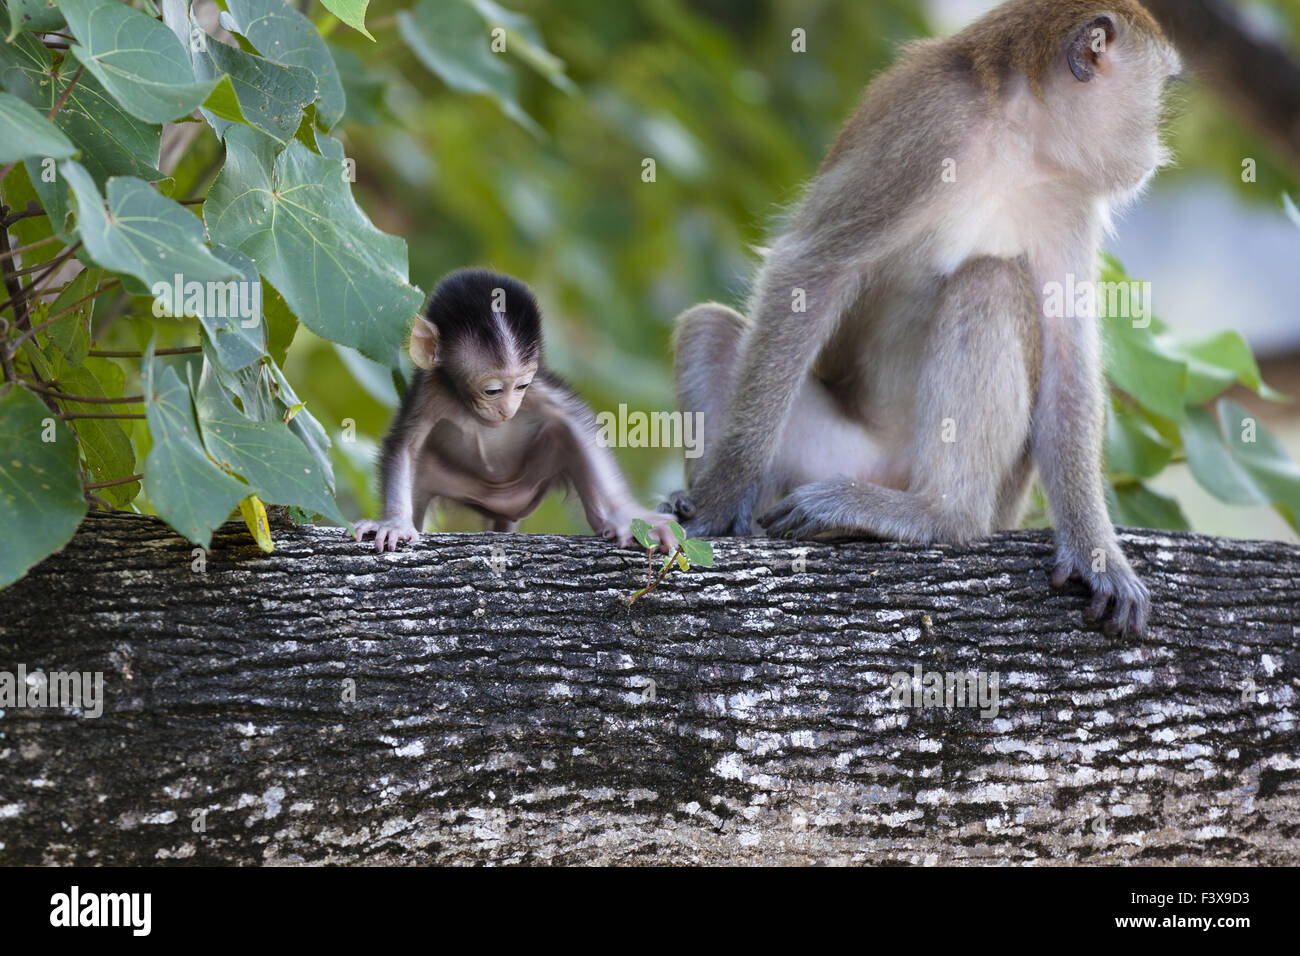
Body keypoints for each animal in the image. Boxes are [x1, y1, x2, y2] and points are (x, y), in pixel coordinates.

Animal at [355, 269, 677, 553]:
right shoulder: (431, 389)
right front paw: (395, 523)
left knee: (563, 434)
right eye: (492, 391)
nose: (507, 409)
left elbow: (580, 427)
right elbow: (405, 447)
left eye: (521, 385)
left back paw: (602, 522)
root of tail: (504, 504)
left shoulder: (538, 392)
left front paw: (627, 516)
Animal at [669, 0, 1180, 637]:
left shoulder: (1070, 197)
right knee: (710, 330)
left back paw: (939, 513)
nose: (1153, 147)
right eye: (1158, 94)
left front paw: (1095, 553)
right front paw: (720, 499)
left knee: (990, 283)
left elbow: (1068, 354)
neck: (1018, 140)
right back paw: (931, 516)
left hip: (998, 492)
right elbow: (812, 271)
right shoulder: (934, 124)